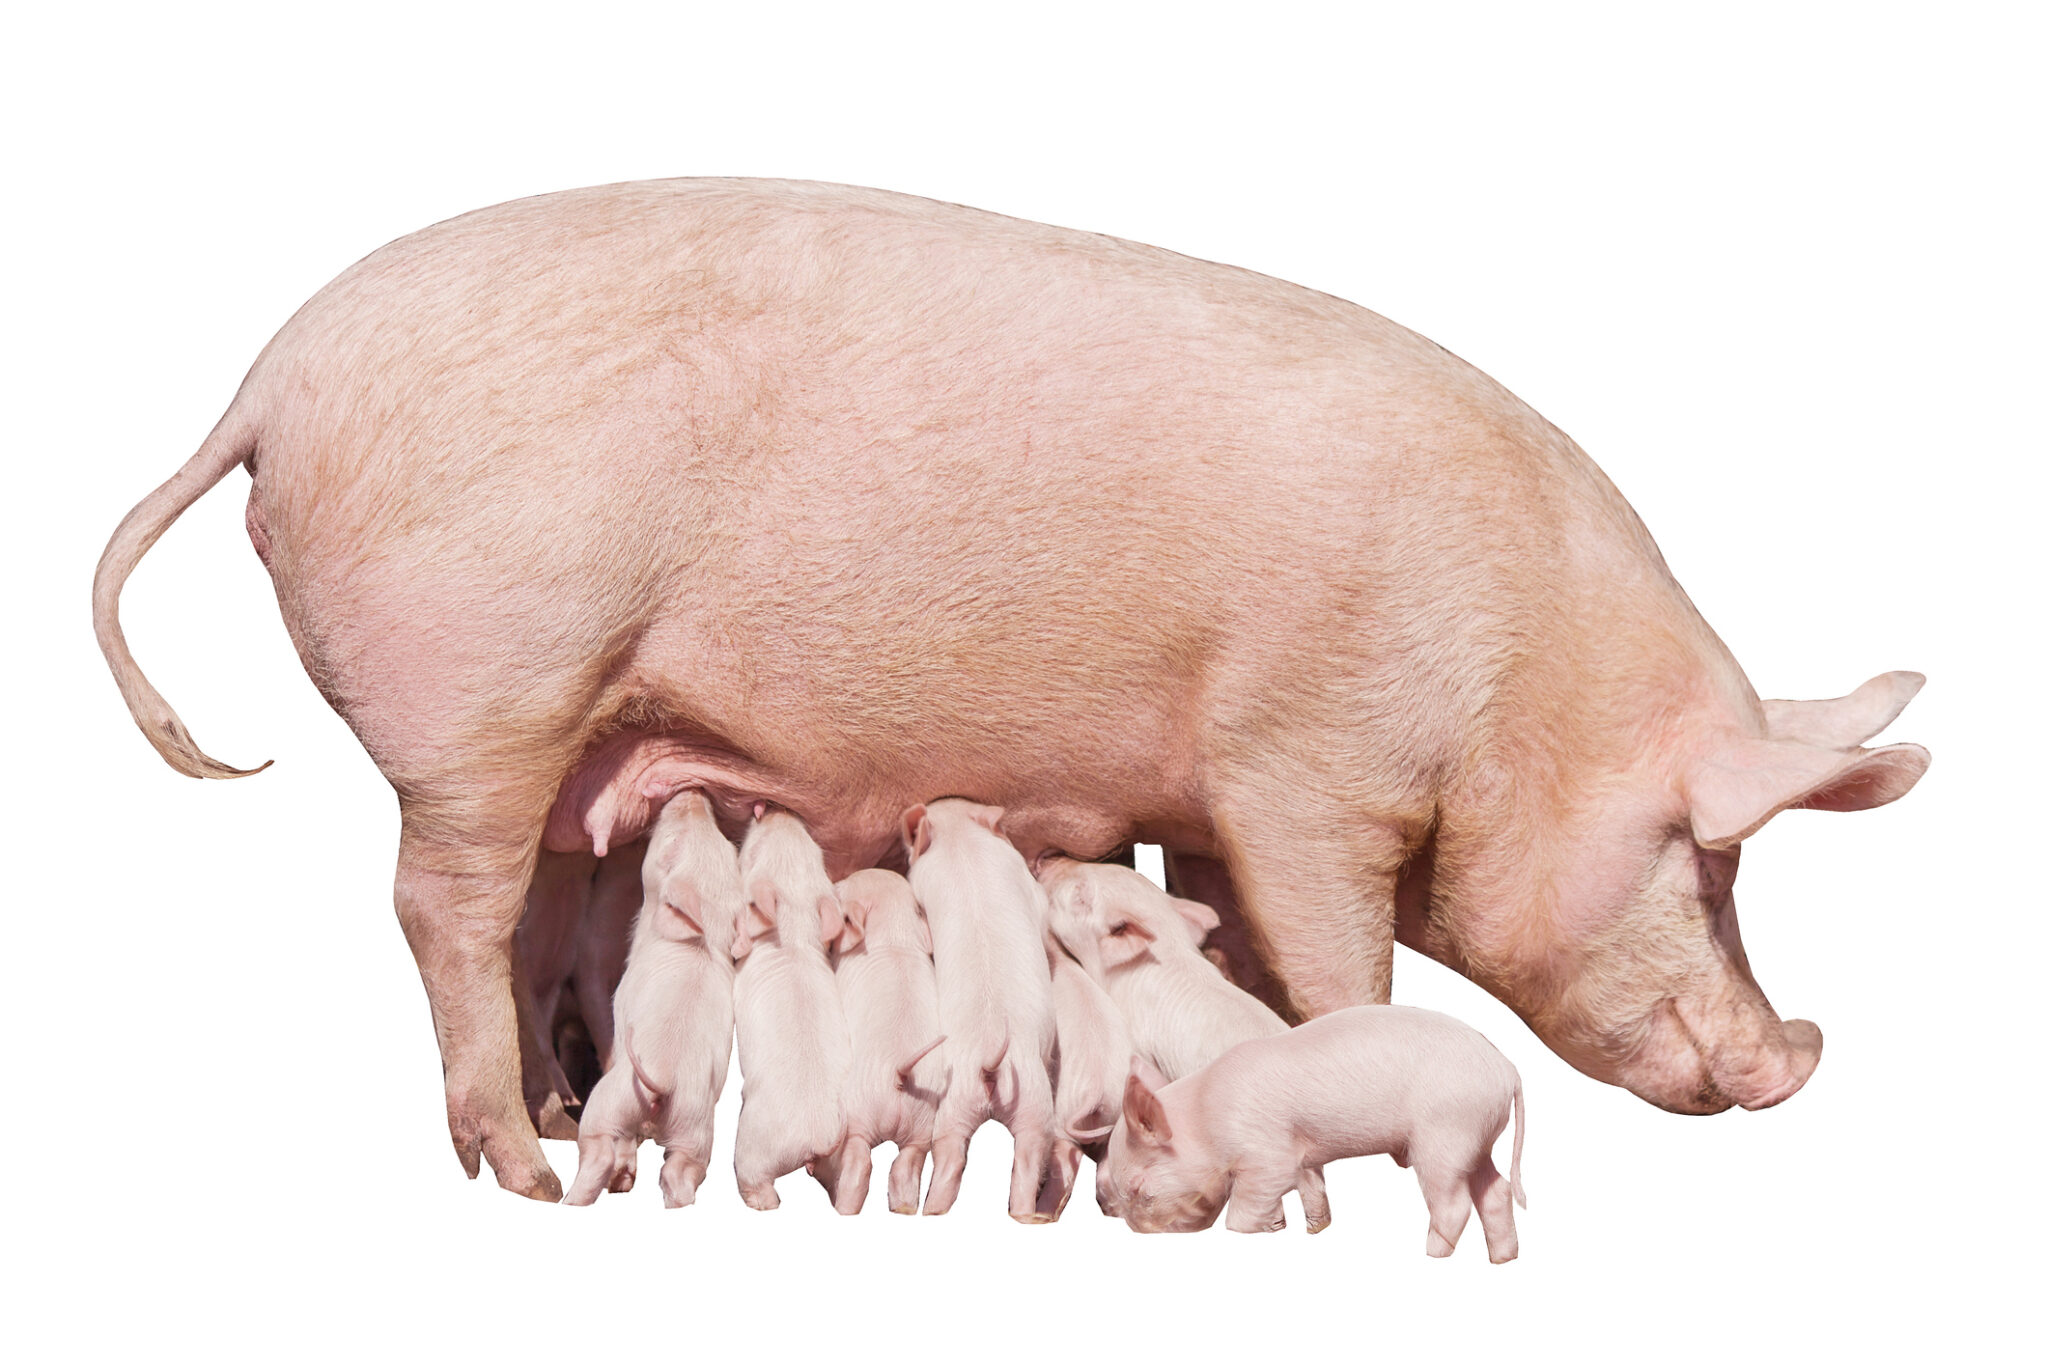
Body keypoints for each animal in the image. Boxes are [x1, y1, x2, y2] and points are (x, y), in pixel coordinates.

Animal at [562, 792, 740, 1207]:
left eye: (669, 845)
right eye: (725, 843)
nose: (694, 792)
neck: (700, 939)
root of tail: (664, 1082)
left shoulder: (621, 997)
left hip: (610, 1100)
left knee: (600, 1148)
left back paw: (572, 1198)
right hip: (695, 1128)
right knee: (680, 1175)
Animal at [729, 808, 852, 1210]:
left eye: (753, 853)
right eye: (816, 850)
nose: (775, 808)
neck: (793, 938)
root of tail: (817, 1137)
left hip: (755, 1146)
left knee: (759, 1184)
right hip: (839, 1153)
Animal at [819, 868, 948, 1215]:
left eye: (842, 890)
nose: (833, 881)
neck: (894, 937)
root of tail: (901, 1074)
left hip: (859, 1112)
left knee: (858, 1164)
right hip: (922, 1124)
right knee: (906, 1166)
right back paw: (902, 1209)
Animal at [904, 799, 1064, 1222]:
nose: (942, 798)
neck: (961, 843)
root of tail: (988, 1064)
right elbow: (1042, 912)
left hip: (954, 1103)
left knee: (949, 1160)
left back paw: (932, 1213)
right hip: (1033, 1098)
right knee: (1026, 1160)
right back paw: (1028, 1216)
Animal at [1102, 1006, 1526, 1259]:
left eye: (1139, 1190)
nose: (1137, 1234)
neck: (1206, 1117)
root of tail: (1507, 1069)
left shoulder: (1266, 1154)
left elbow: (1244, 1209)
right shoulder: (1303, 1158)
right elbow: (1311, 1190)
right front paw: (1311, 1230)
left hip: (1445, 1134)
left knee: (1454, 1205)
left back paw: (1428, 1254)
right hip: (1476, 1138)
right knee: (1496, 1190)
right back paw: (1503, 1259)